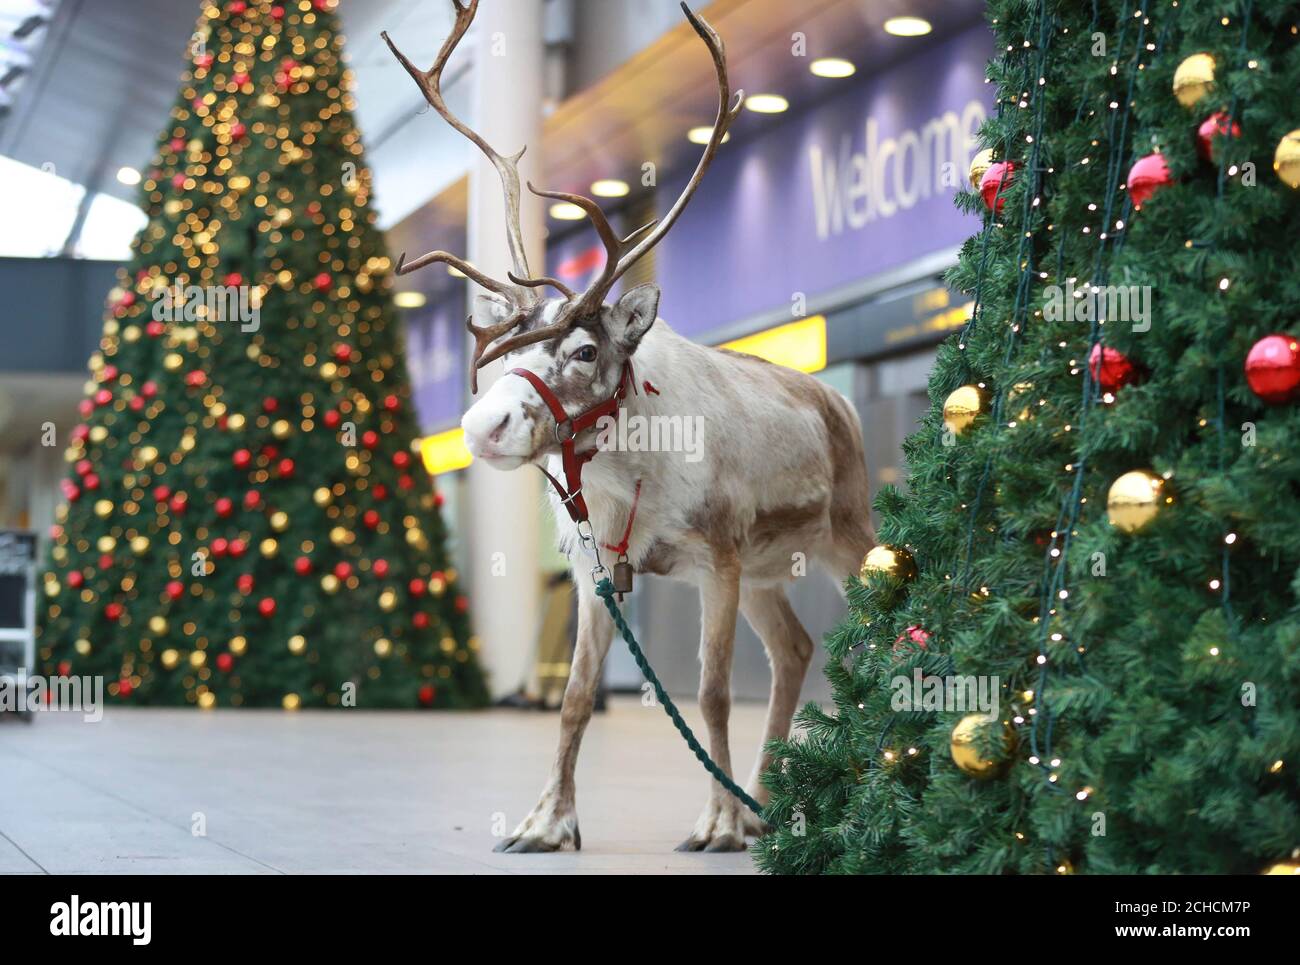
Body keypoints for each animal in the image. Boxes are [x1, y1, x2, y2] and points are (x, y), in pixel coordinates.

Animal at [383, 0, 873, 853]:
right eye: (511, 346)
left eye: (584, 348)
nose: (484, 423)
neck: (623, 483)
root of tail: (835, 402)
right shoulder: (596, 570)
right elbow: (576, 696)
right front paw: (545, 823)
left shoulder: (718, 555)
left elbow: (711, 691)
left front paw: (714, 825)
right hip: (770, 571)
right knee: (795, 649)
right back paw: (763, 801)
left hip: (842, 535)